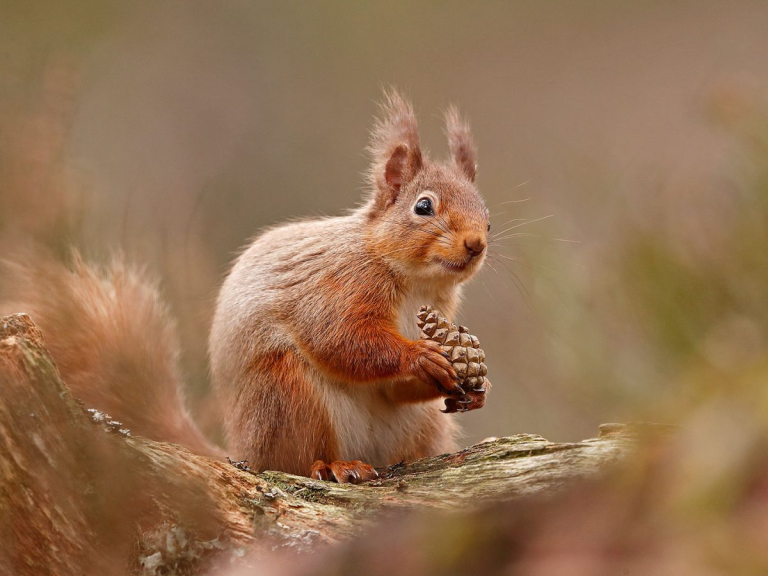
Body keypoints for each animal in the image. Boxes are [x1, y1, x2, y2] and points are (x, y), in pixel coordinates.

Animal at [0, 91, 491, 483]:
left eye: (486, 213)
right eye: (423, 206)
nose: (476, 243)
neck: (414, 281)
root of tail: (241, 452)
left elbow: (391, 387)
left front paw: (472, 383)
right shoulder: (339, 285)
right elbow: (341, 339)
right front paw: (420, 355)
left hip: (419, 425)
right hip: (288, 397)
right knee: (297, 458)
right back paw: (335, 465)